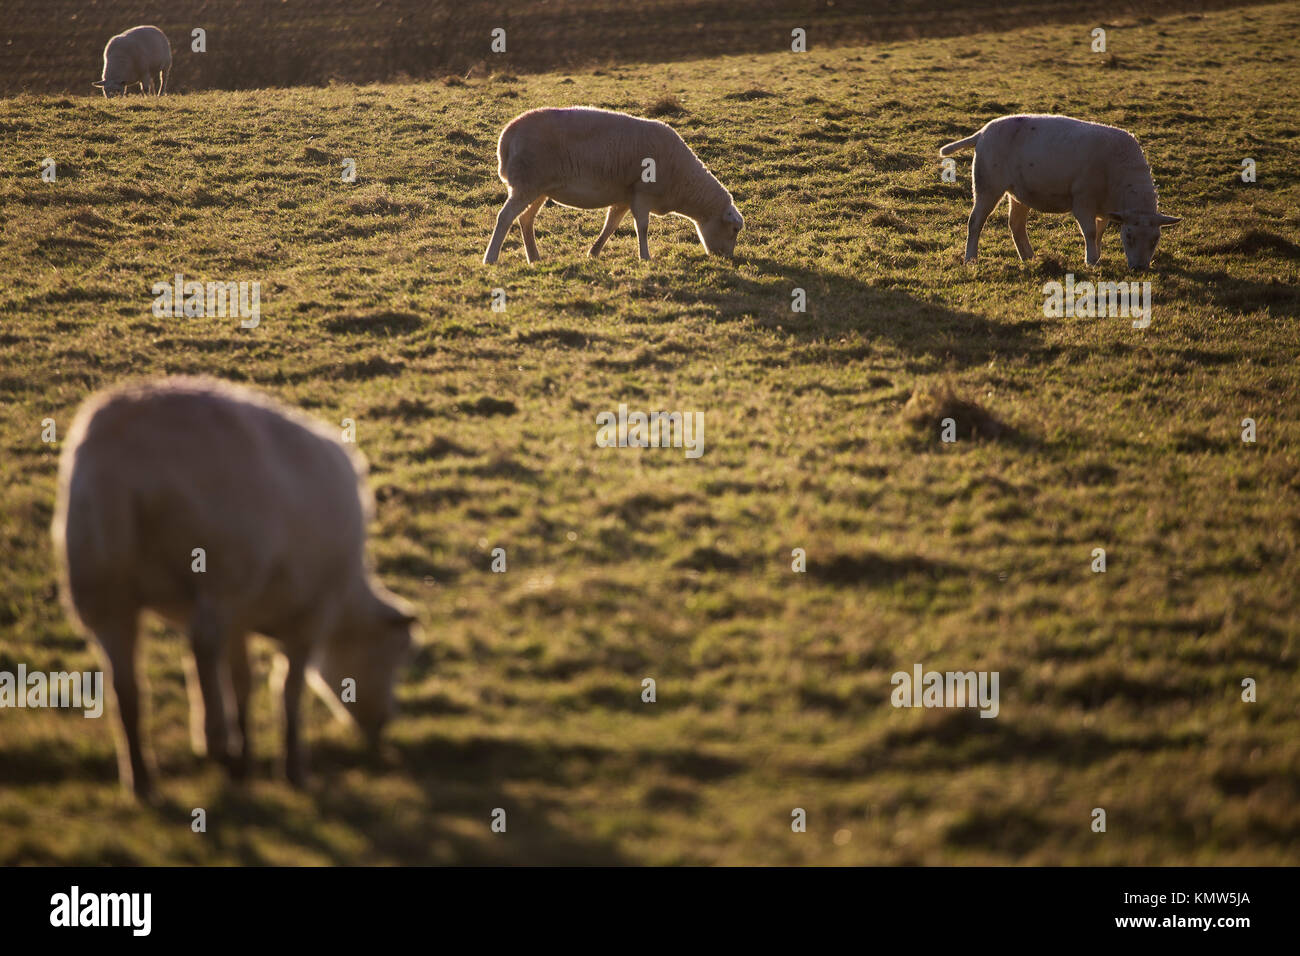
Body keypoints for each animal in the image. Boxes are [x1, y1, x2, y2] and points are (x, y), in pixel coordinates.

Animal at [51, 377, 416, 799]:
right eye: (396, 652)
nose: (382, 726)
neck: (348, 607)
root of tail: (120, 444)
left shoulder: (242, 617)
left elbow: (242, 679)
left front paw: (246, 756)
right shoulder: (308, 616)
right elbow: (286, 688)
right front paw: (291, 767)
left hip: (98, 579)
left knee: (125, 685)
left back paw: (142, 777)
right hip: (220, 568)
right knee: (201, 645)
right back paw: (212, 740)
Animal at [483, 106, 744, 264]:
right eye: (734, 230)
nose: (728, 259)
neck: (683, 183)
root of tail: (507, 135)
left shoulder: (624, 197)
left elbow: (611, 225)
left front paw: (594, 252)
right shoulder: (642, 193)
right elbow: (642, 227)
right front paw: (645, 257)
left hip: (538, 189)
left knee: (525, 220)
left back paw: (534, 257)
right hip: (526, 184)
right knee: (505, 217)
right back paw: (490, 258)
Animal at [940, 114, 1180, 270]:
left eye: (1155, 239)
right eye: (1129, 236)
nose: (1139, 269)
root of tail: (982, 132)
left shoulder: (1105, 207)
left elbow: (1100, 232)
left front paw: (1097, 256)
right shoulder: (1083, 200)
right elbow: (1090, 232)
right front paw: (1091, 262)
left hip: (1019, 192)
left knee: (1016, 225)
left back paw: (1030, 258)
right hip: (988, 185)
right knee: (975, 222)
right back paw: (970, 259)